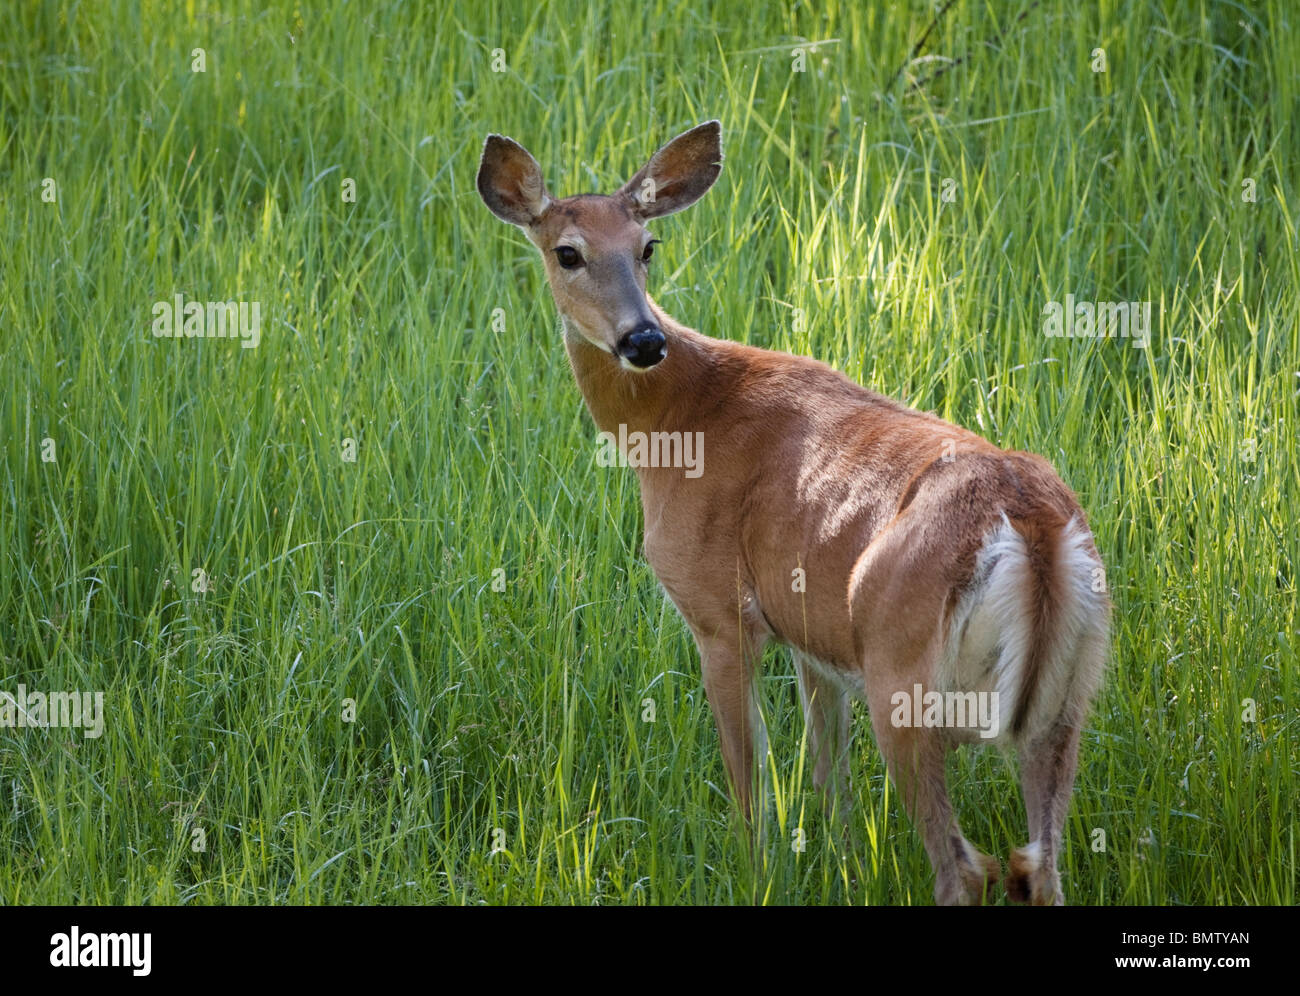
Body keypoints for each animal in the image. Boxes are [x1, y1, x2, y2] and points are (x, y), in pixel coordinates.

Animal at [476, 120, 1110, 905]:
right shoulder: (815, 640)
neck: (674, 423)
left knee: (965, 867)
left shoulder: (719, 611)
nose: (644, 340)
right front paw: (843, 864)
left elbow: (751, 782)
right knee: (1041, 864)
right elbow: (827, 778)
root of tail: (1031, 529)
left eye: (648, 246)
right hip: (1068, 693)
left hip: (903, 672)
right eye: (568, 252)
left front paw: (756, 871)